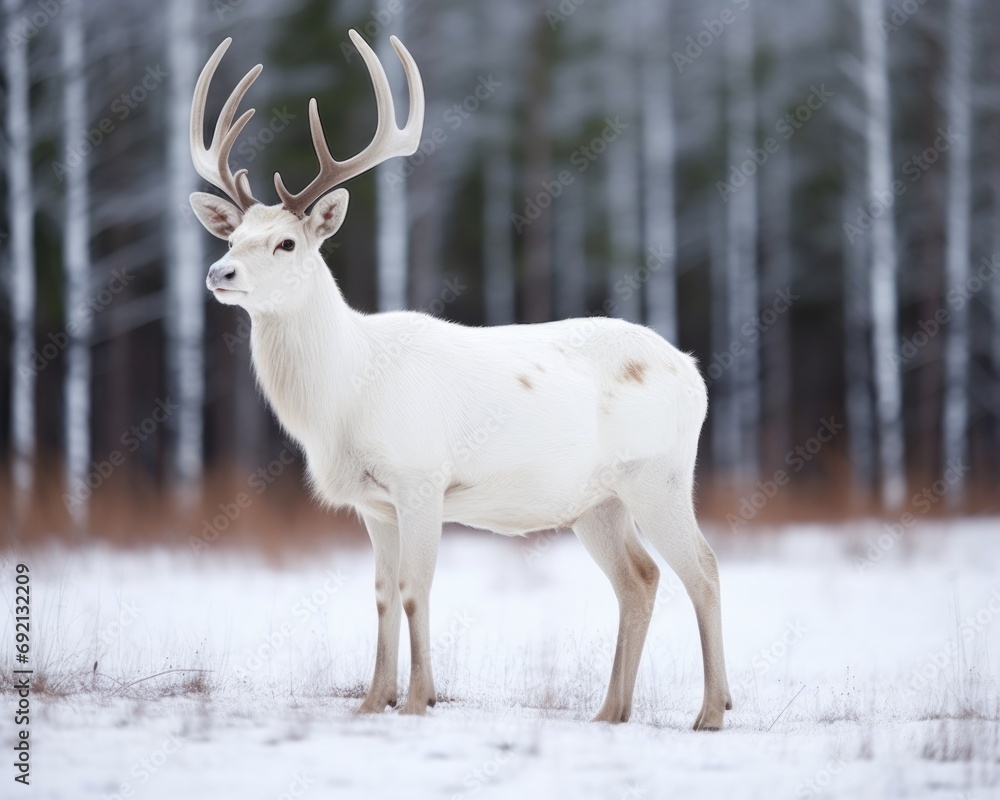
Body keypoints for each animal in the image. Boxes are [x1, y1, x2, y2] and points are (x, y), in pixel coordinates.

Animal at [188, 30, 732, 730]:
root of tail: (692, 372)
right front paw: (373, 701)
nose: (219, 272)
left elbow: (416, 590)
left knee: (704, 569)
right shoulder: (374, 502)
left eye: (286, 243)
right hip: (597, 500)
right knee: (638, 578)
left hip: (658, 474)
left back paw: (711, 711)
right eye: (235, 235)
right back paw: (611, 711)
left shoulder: (421, 477)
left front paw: (420, 700)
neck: (345, 396)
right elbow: (382, 595)